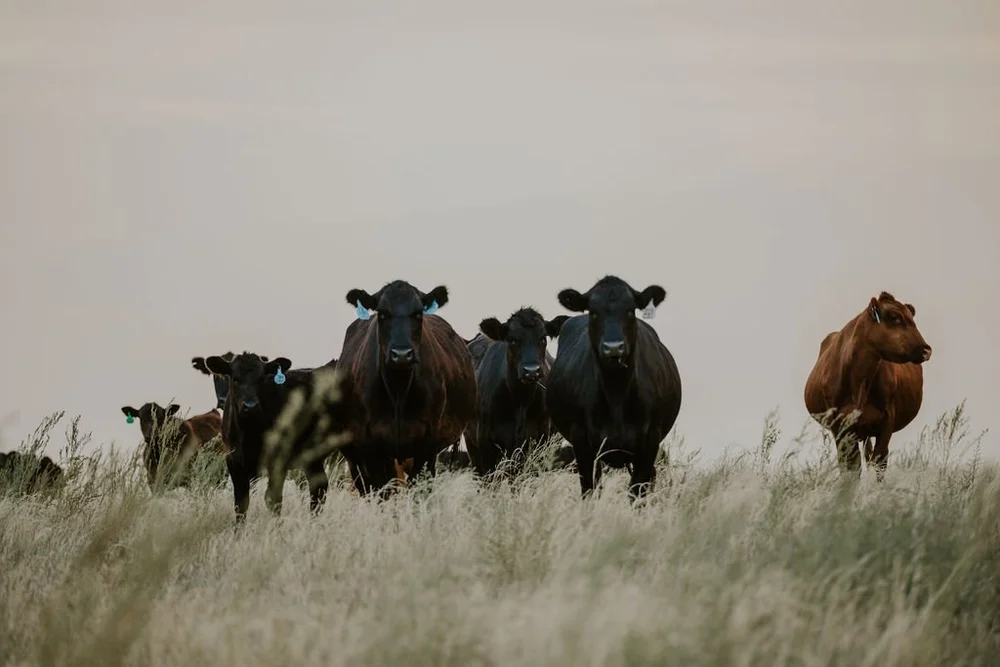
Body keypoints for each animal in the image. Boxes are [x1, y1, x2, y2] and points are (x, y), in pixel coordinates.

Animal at [200, 352, 350, 520]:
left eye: (262, 379)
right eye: (235, 379)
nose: (250, 406)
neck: (249, 434)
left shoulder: (278, 460)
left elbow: (273, 499)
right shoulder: (234, 460)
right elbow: (241, 503)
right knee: (318, 487)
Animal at [337, 280, 477, 497]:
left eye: (418, 313)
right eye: (382, 313)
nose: (402, 354)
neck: (398, 391)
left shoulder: (427, 443)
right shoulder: (371, 446)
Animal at [463, 307, 568, 478]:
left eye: (543, 338)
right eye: (512, 339)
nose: (531, 371)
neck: (521, 400)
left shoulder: (541, 440)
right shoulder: (485, 442)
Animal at [545, 275, 682, 502]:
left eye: (630, 310)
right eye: (593, 311)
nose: (613, 347)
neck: (616, 392)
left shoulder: (649, 443)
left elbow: (637, 492)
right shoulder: (583, 444)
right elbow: (589, 491)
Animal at [803, 291, 932, 481]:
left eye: (912, 318)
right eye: (894, 317)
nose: (926, 350)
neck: (859, 384)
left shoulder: (886, 420)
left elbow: (879, 462)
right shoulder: (840, 427)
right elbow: (850, 469)